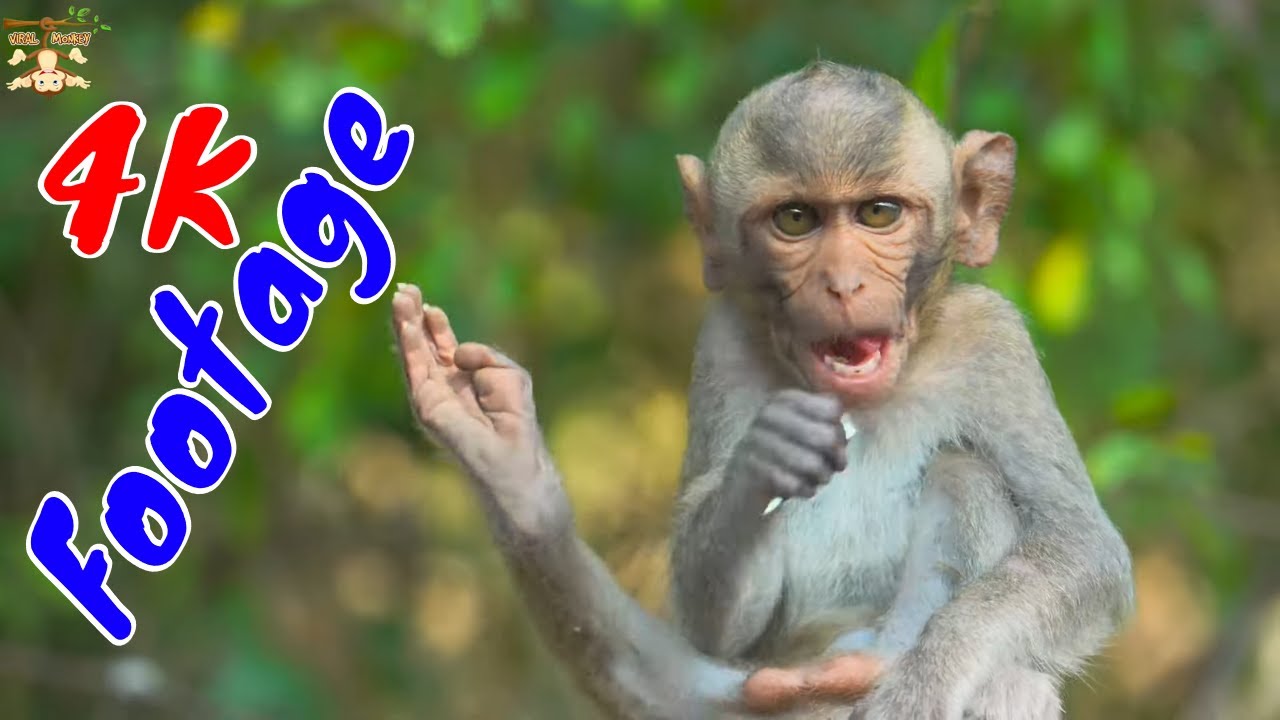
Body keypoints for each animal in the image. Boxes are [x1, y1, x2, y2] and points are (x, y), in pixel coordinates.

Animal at [391, 61, 1134, 720]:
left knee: (965, 473)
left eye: (879, 214)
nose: (842, 284)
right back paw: (515, 477)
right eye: (797, 220)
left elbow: (1084, 552)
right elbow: (713, 622)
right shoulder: (721, 347)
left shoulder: (994, 346)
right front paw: (763, 459)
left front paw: (929, 676)